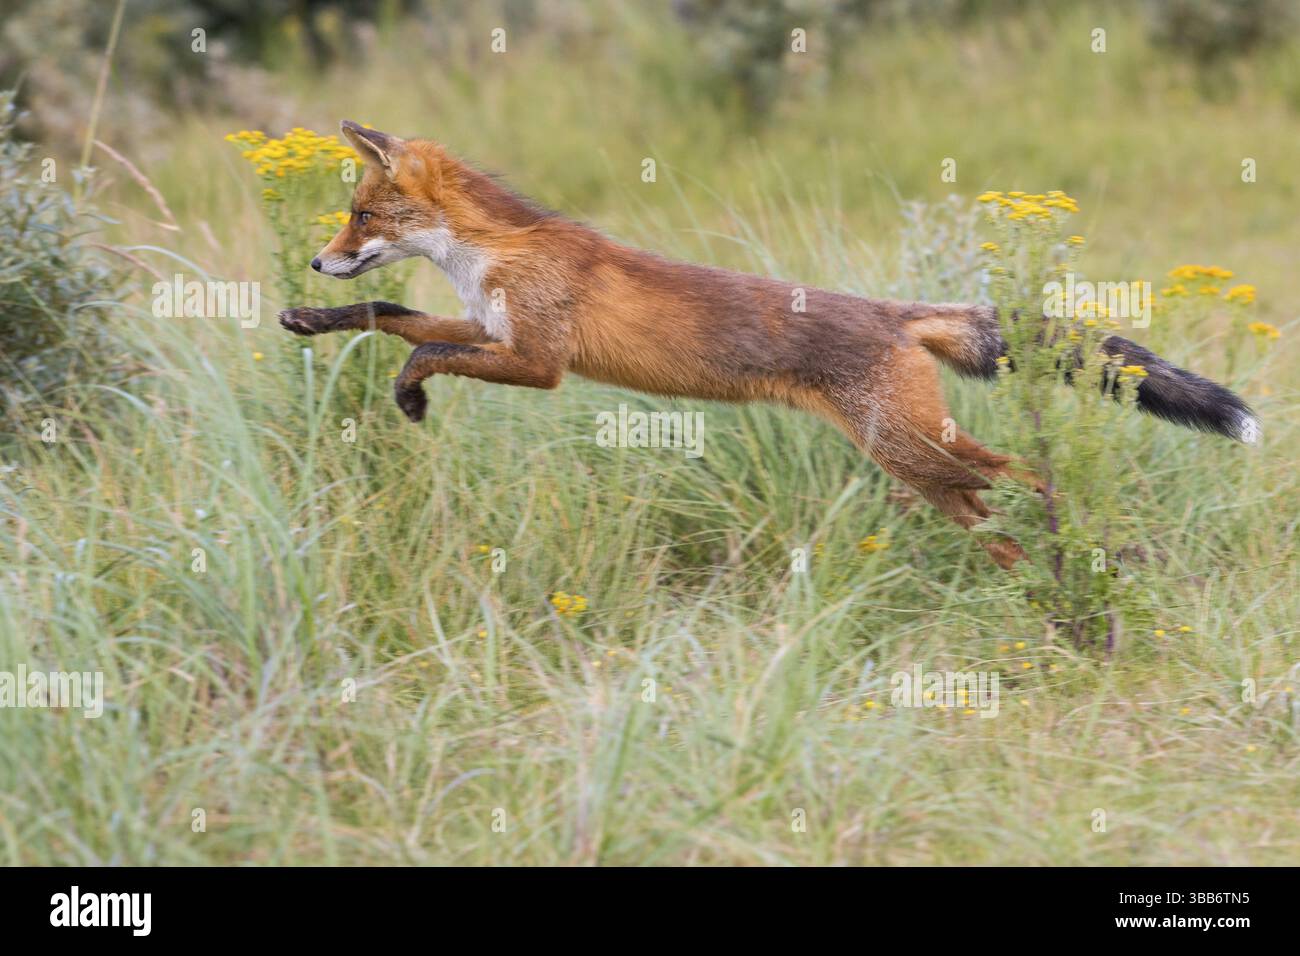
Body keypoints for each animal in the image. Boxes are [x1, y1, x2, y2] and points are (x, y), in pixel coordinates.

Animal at [279, 120, 1258, 569]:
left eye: (361, 215)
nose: (318, 258)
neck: (496, 255)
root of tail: (894, 312)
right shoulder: (490, 328)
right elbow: (387, 313)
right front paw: (311, 320)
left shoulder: (539, 362)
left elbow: (419, 350)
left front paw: (409, 397)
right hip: (920, 471)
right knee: (999, 513)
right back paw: (1049, 590)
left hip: (911, 447)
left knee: (1028, 474)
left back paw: (1087, 543)